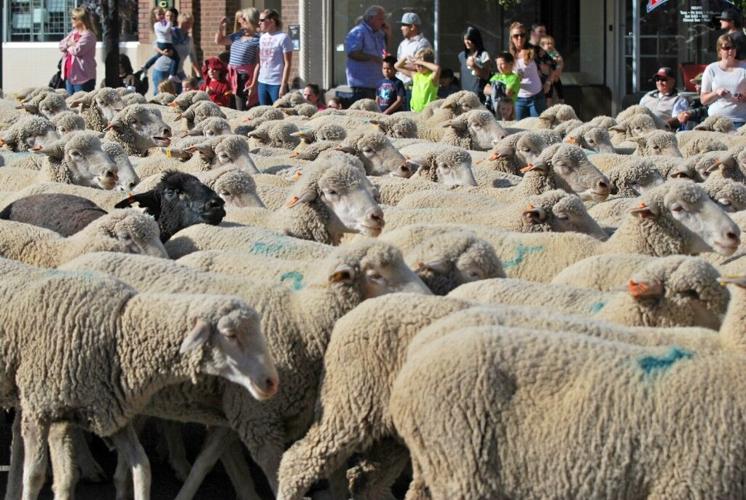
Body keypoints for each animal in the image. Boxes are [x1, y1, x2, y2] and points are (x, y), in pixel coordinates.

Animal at [0, 259, 278, 500]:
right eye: (230, 335)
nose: (270, 382)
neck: (116, 332)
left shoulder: (110, 414)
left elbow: (142, 467)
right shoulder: (39, 411)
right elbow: (34, 476)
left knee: (16, 438)